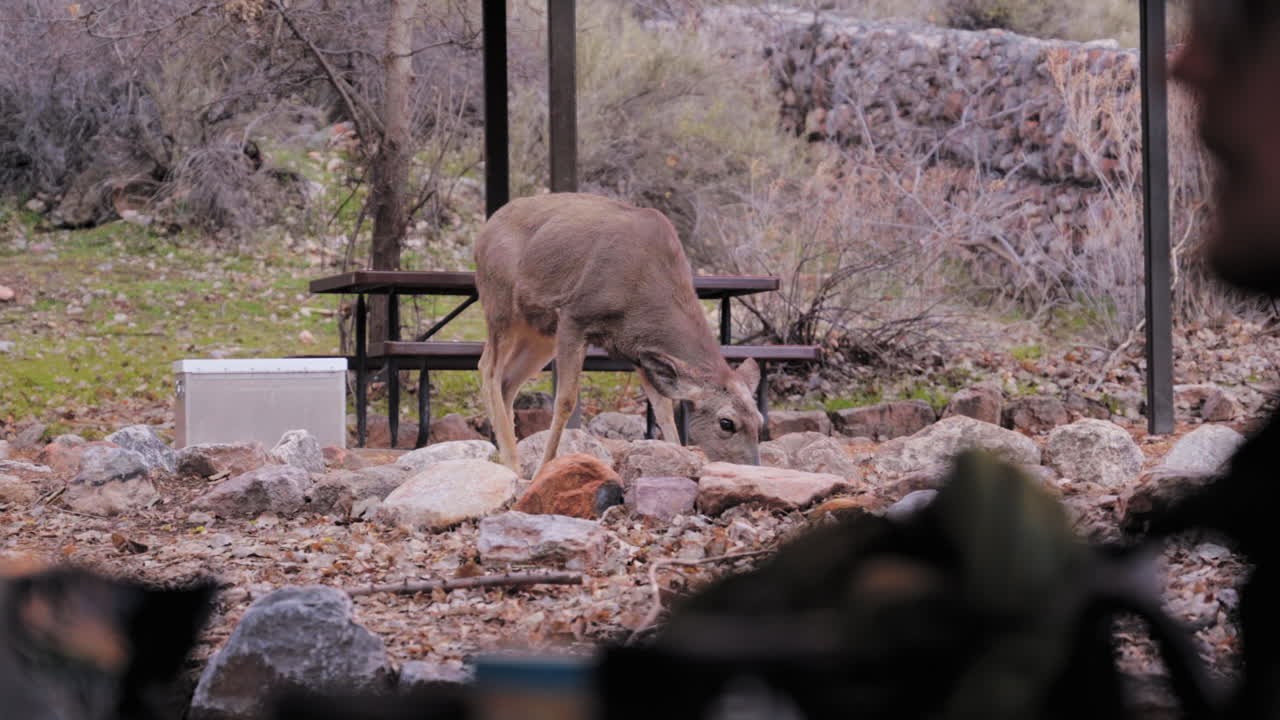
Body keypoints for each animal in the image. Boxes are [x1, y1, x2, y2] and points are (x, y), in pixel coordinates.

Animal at [475, 192, 763, 476]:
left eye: (759, 421)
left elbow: (663, 409)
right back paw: (512, 463)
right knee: (488, 368)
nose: (751, 468)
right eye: (726, 423)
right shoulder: (574, 315)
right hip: (500, 302)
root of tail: (486, 229)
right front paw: (545, 468)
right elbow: (565, 400)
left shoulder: (639, 352)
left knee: (507, 380)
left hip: (540, 333)